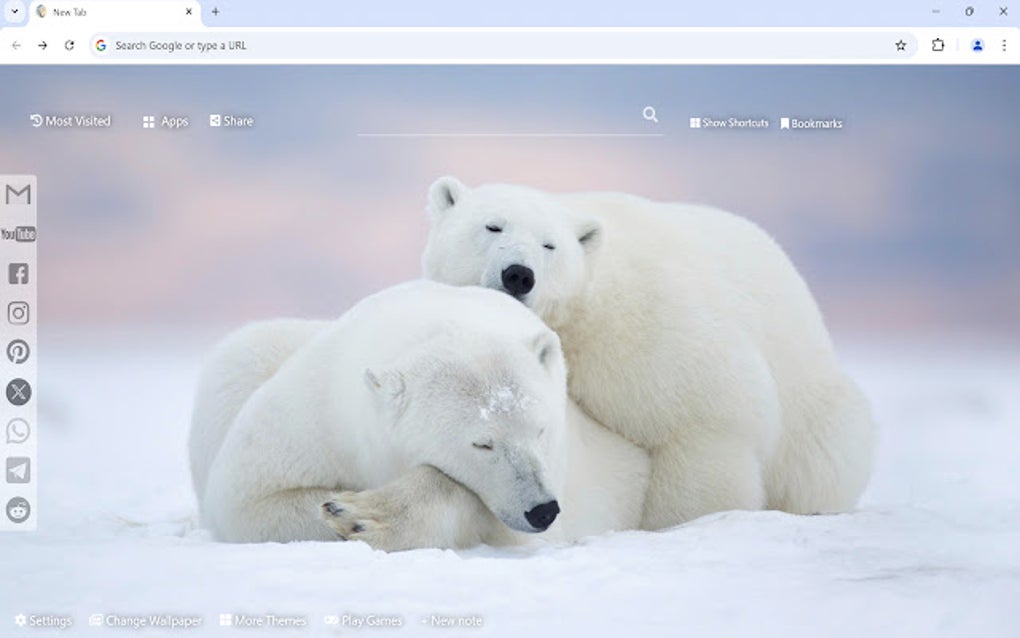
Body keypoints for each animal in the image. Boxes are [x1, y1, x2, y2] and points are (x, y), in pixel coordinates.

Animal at [189, 280, 648, 549]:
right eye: (482, 443)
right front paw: (344, 510)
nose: (542, 509)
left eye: (541, 430)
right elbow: (249, 499)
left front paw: (362, 515)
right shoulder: (318, 414)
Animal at [422, 177, 876, 530]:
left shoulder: (649, 329)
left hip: (815, 409)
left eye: (550, 245)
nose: (519, 274)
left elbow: (704, 421)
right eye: (492, 226)